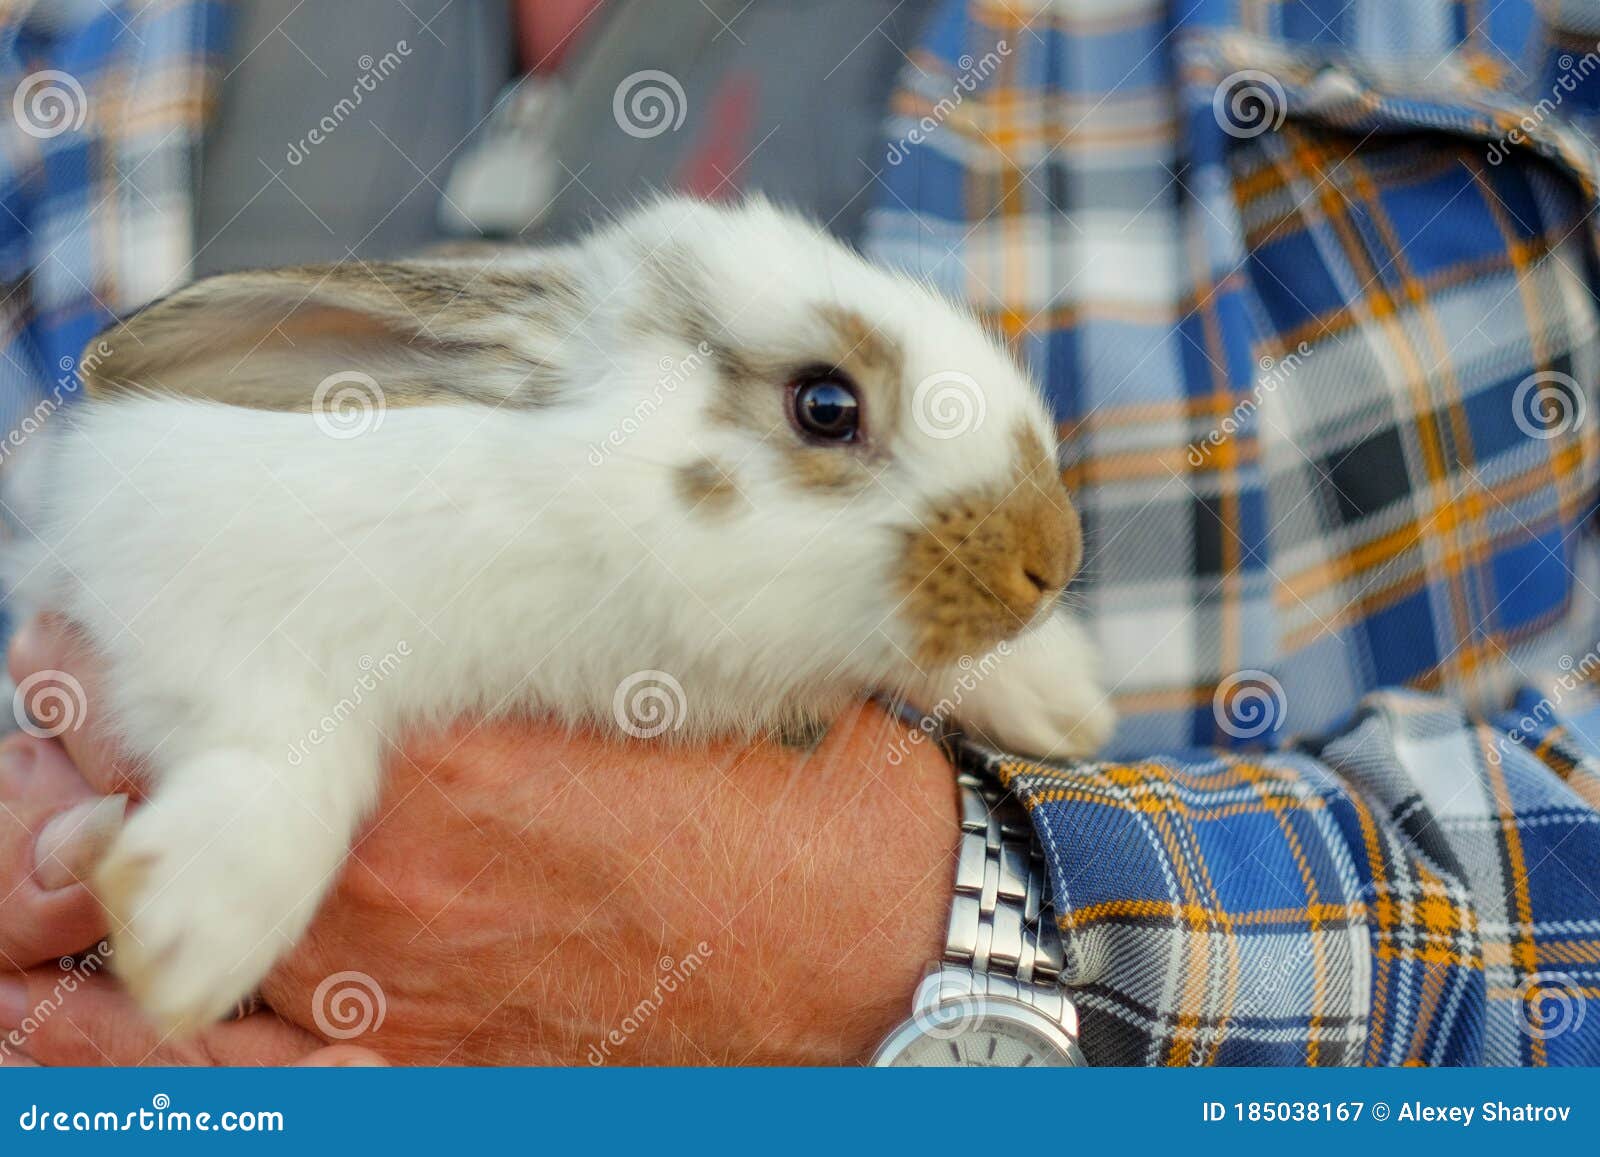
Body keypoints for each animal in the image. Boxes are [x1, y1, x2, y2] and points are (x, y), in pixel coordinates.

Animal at [3, 195, 1114, 1032]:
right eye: (826, 405)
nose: (1051, 556)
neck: (572, 509)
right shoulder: (196, 615)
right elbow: (282, 757)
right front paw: (188, 936)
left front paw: (1061, 700)